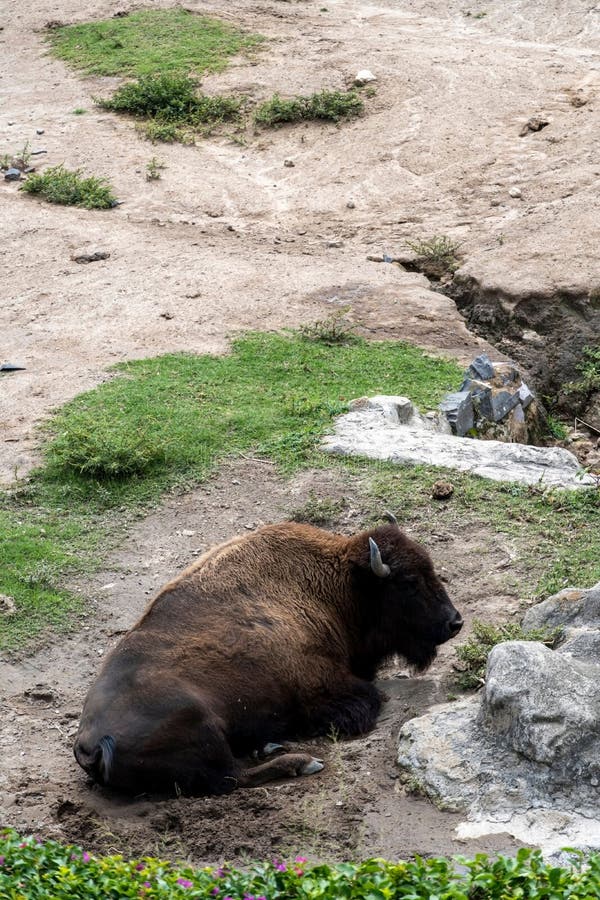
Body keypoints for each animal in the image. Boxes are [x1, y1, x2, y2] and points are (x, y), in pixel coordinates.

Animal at [74, 519, 462, 795]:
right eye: (408, 582)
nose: (454, 622)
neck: (336, 587)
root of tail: (91, 743)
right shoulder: (327, 687)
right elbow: (368, 698)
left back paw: (270, 746)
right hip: (203, 726)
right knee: (231, 777)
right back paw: (301, 761)